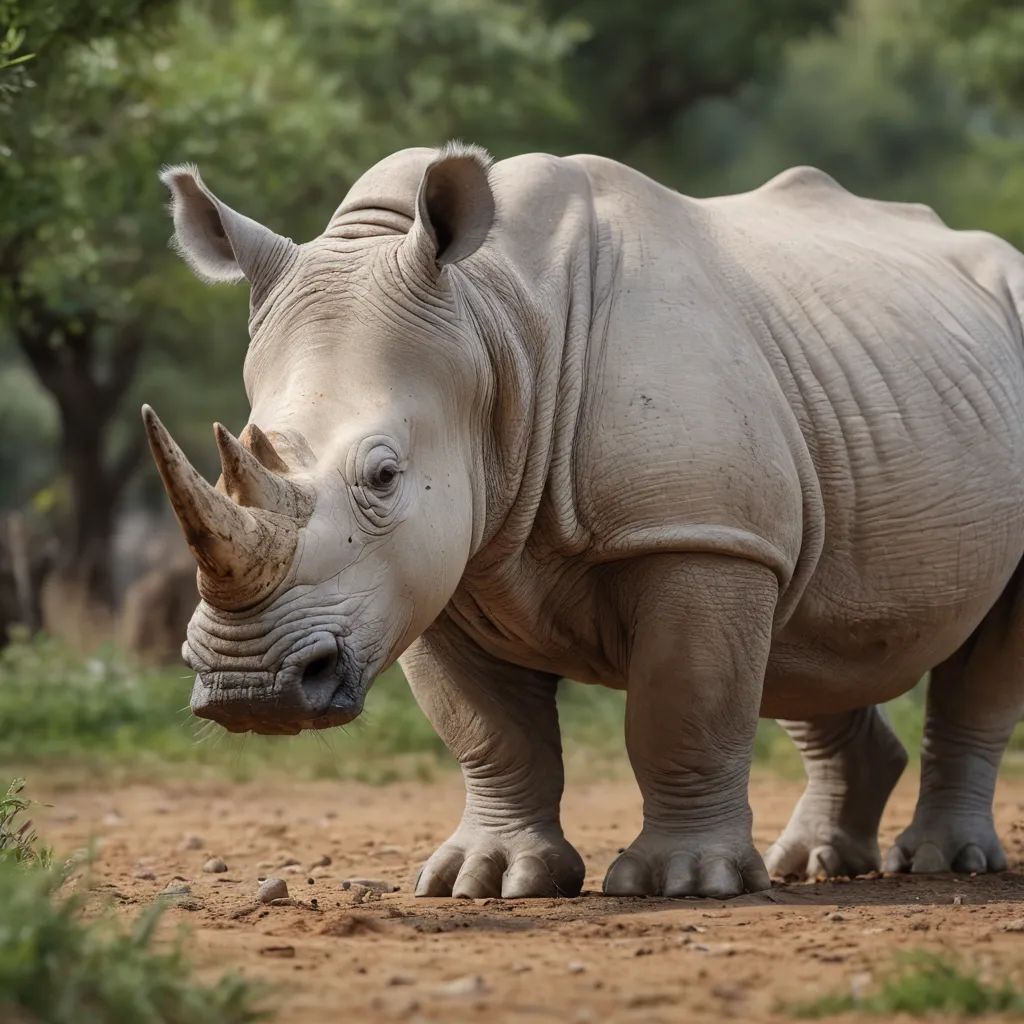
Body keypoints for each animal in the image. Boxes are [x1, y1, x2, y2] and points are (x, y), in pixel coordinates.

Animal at [143, 142, 1024, 899]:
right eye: (236, 449)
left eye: (384, 476)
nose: (248, 685)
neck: (492, 327)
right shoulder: (431, 568)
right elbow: (489, 732)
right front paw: (486, 879)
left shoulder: (695, 534)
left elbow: (683, 703)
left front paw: (683, 884)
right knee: (811, 637)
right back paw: (817, 864)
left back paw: (943, 864)